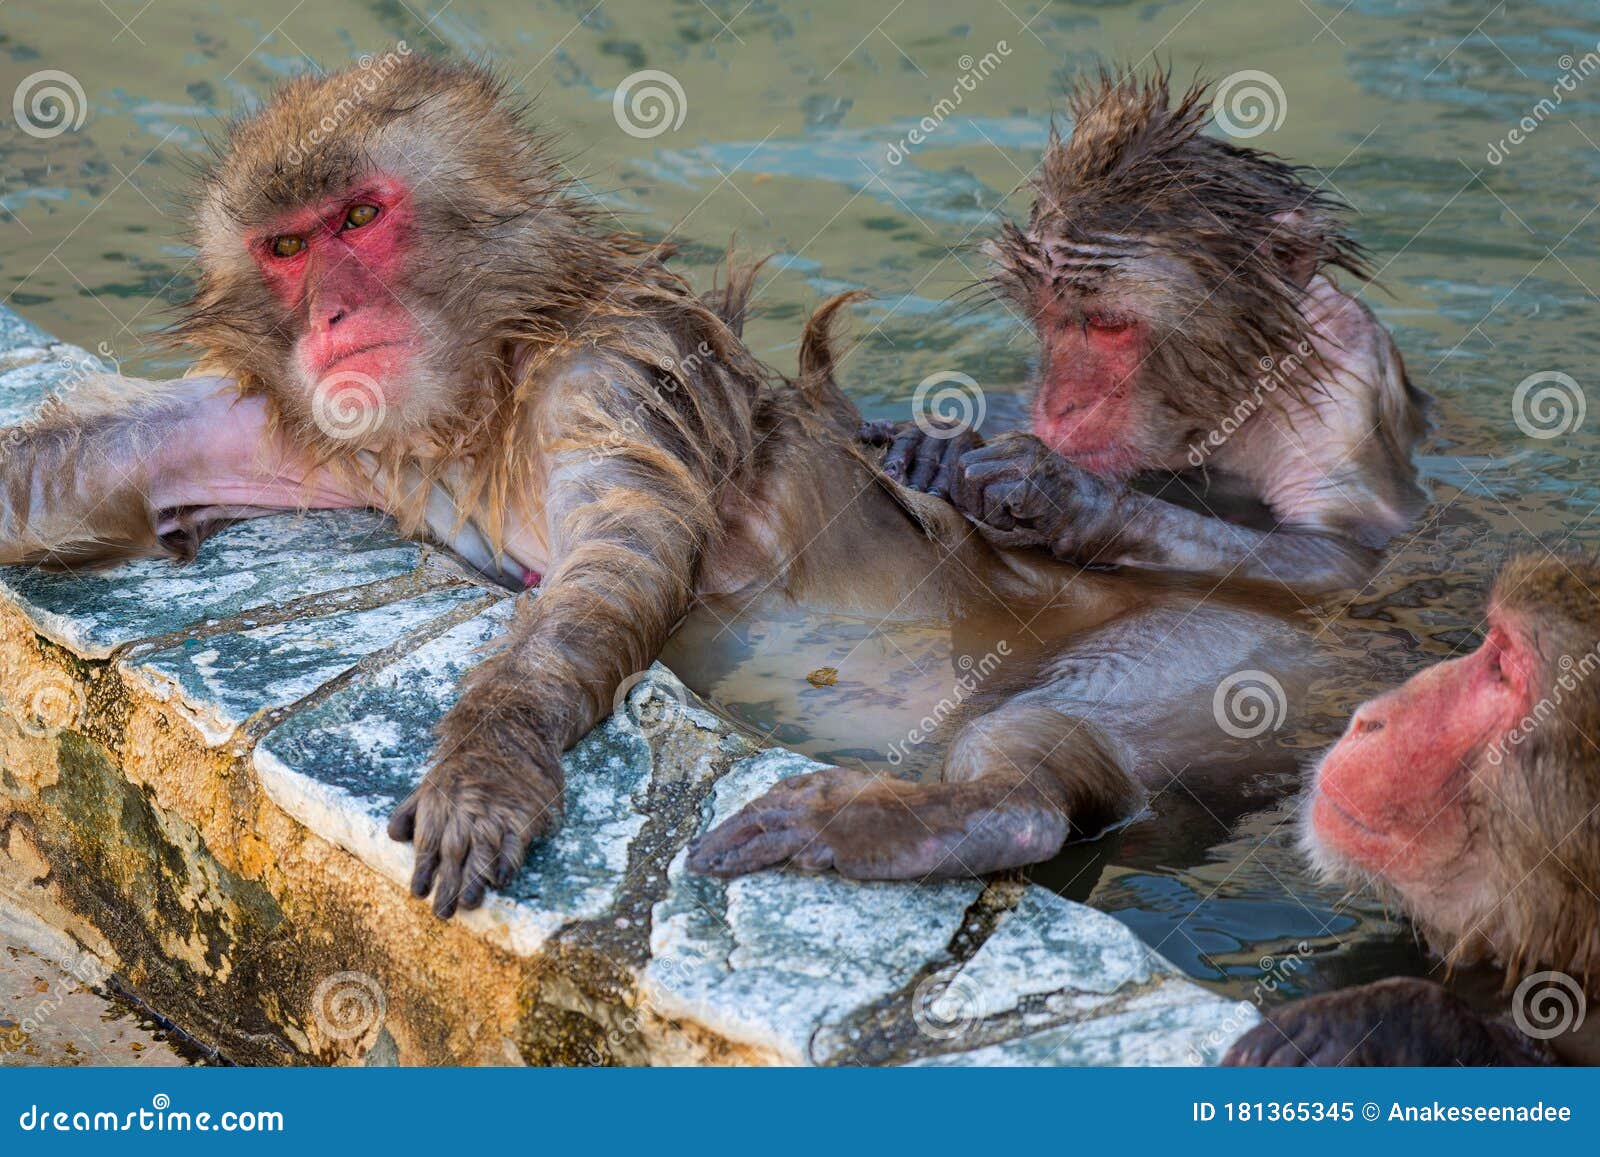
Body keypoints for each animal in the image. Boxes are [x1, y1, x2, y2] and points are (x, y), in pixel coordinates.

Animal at [0, 53, 1323, 917]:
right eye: (284, 247)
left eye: (360, 218)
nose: (329, 316)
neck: (487, 389)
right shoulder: (331, 429)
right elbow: (87, 473)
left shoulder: (612, 378)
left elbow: (616, 564)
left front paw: (486, 760)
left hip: (1226, 654)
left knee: (1062, 733)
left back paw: (973, 809)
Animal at [871, 71, 1430, 592]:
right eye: (1049, 319)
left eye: (1108, 322)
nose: (1060, 405)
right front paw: (938, 440)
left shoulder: (1346, 385)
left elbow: (1336, 556)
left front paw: (1069, 496)